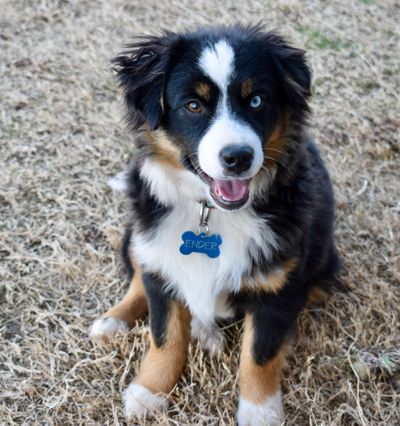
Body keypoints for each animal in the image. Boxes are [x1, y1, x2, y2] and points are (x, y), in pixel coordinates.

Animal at [89, 24, 340, 426]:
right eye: (194, 105)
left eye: (256, 101)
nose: (238, 157)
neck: (211, 213)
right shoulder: (159, 256)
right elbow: (164, 336)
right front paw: (148, 392)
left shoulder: (279, 284)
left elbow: (260, 354)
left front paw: (259, 411)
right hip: (137, 234)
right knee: (138, 276)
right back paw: (115, 321)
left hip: (323, 265)